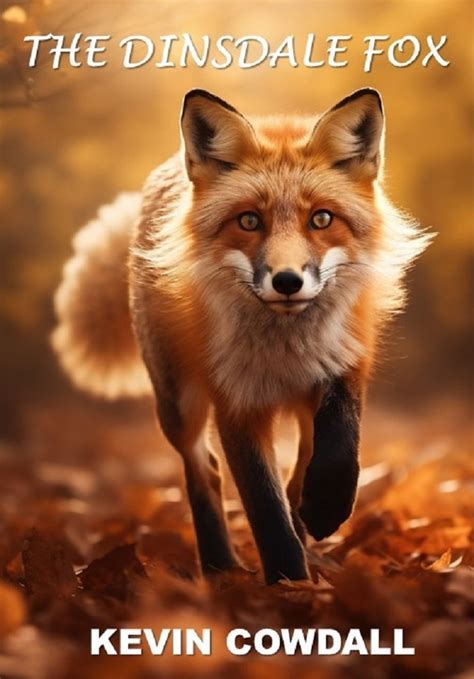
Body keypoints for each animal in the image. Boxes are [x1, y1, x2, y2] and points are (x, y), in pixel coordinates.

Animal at [52, 88, 431, 584]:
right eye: (249, 221)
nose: (287, 281)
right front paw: (290, 583)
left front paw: (323, 509)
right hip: (178, 404)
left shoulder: (343, 365)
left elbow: (337, 447)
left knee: (284, 466)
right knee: (203, 470)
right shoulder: (236, 404)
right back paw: (219, 565)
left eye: (321, 219)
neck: (285, 350)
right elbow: (266, 510)